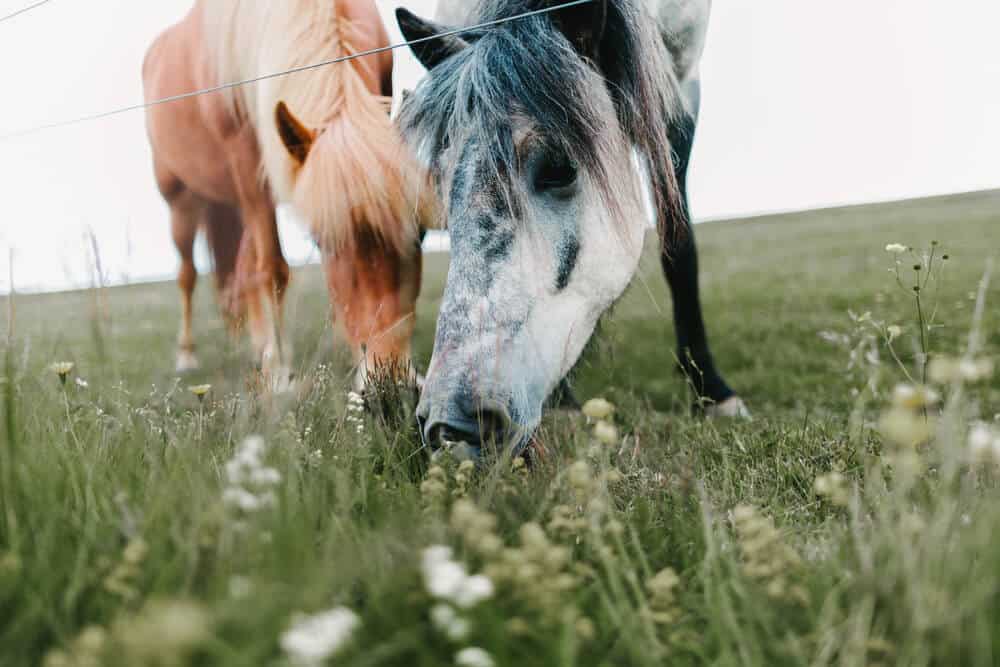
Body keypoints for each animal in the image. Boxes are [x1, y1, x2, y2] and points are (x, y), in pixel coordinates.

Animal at [143, 0, 430, 386]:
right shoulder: (249, 168)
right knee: (187, 274)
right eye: (322, 240)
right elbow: (273, 269)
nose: (392, 384)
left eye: (420, 234)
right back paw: (188, 356)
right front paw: (278, 372)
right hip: (182, 201)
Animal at [395, 0, 747, 456]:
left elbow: (679, 244)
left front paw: (712, 391)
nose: (449, 425)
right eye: (440, 180)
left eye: (559, 169)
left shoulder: (684, 88)